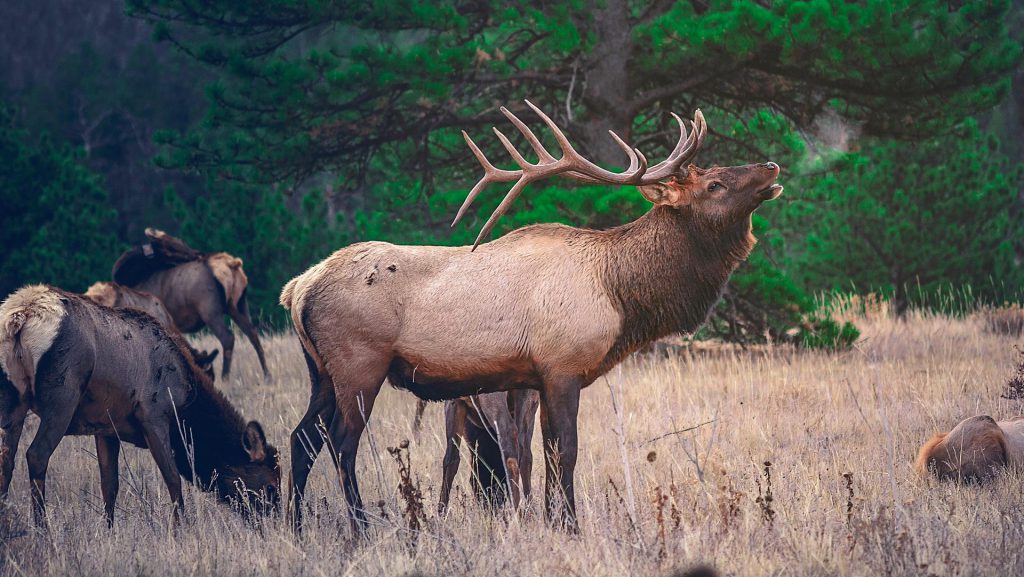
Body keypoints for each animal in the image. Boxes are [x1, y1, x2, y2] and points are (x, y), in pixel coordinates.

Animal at [0, 285, 280, 527]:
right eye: (270, 485)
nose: (274, 524)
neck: (187, 405)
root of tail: (19, 317)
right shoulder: (154, 415)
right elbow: (173, 479)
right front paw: (180, 530)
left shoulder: (106, 428)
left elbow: (110, 485)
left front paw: (109, 530)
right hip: (62, 397)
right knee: (36, 455)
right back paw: (42, 529)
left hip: (13, 400)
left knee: (6, 460)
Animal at [280, 101, 783, 531]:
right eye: (714, 184)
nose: (772, 167)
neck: (619, 294)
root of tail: (297, 289)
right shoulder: (562, 367)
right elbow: (567, 452)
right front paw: (571, 526)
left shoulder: (534, 378)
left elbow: (543, 454)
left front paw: (551, 521)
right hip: (360, 364)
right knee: (341, 444)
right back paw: (360, 528)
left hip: (321, 372)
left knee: (301, 439)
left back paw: (295, 526)